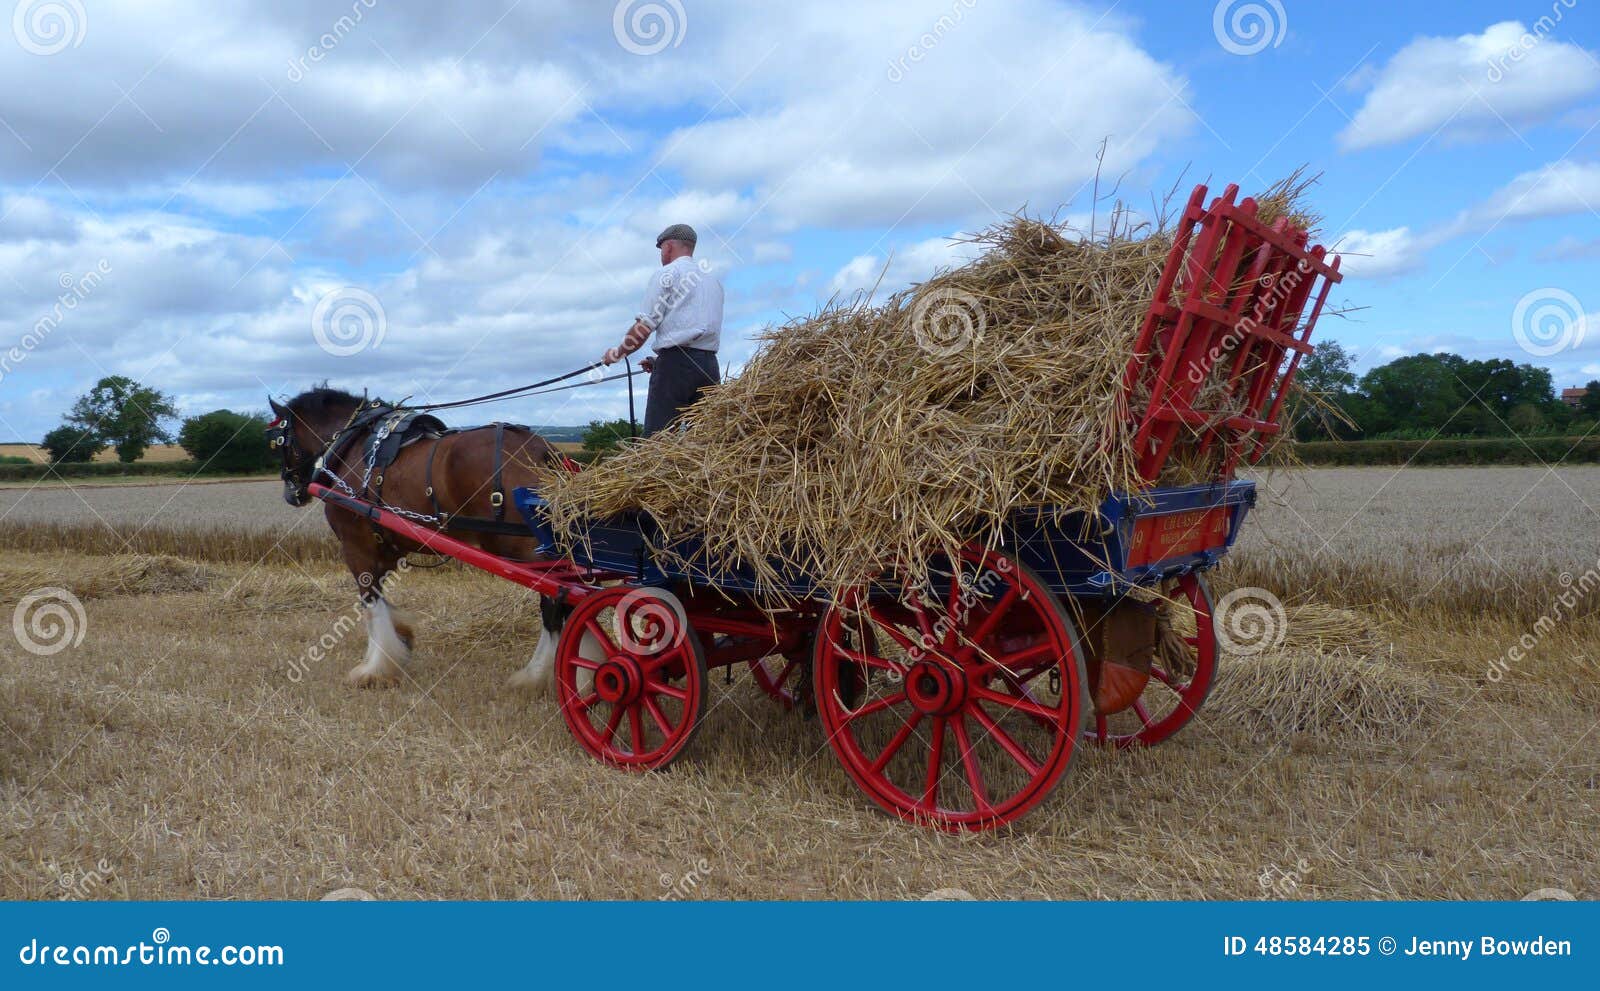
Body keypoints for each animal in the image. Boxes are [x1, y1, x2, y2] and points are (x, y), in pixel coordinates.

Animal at [267, 386, 597, 690]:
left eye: (279, 440)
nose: (290, 494)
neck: (349, 444)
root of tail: (544, 452)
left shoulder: (357, 547)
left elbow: (371, 604)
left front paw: (375, 668)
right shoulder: (386, 548)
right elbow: (383, 601)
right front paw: (403, 638)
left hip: (524, 547)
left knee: (559, 603)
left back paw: (540, 676)